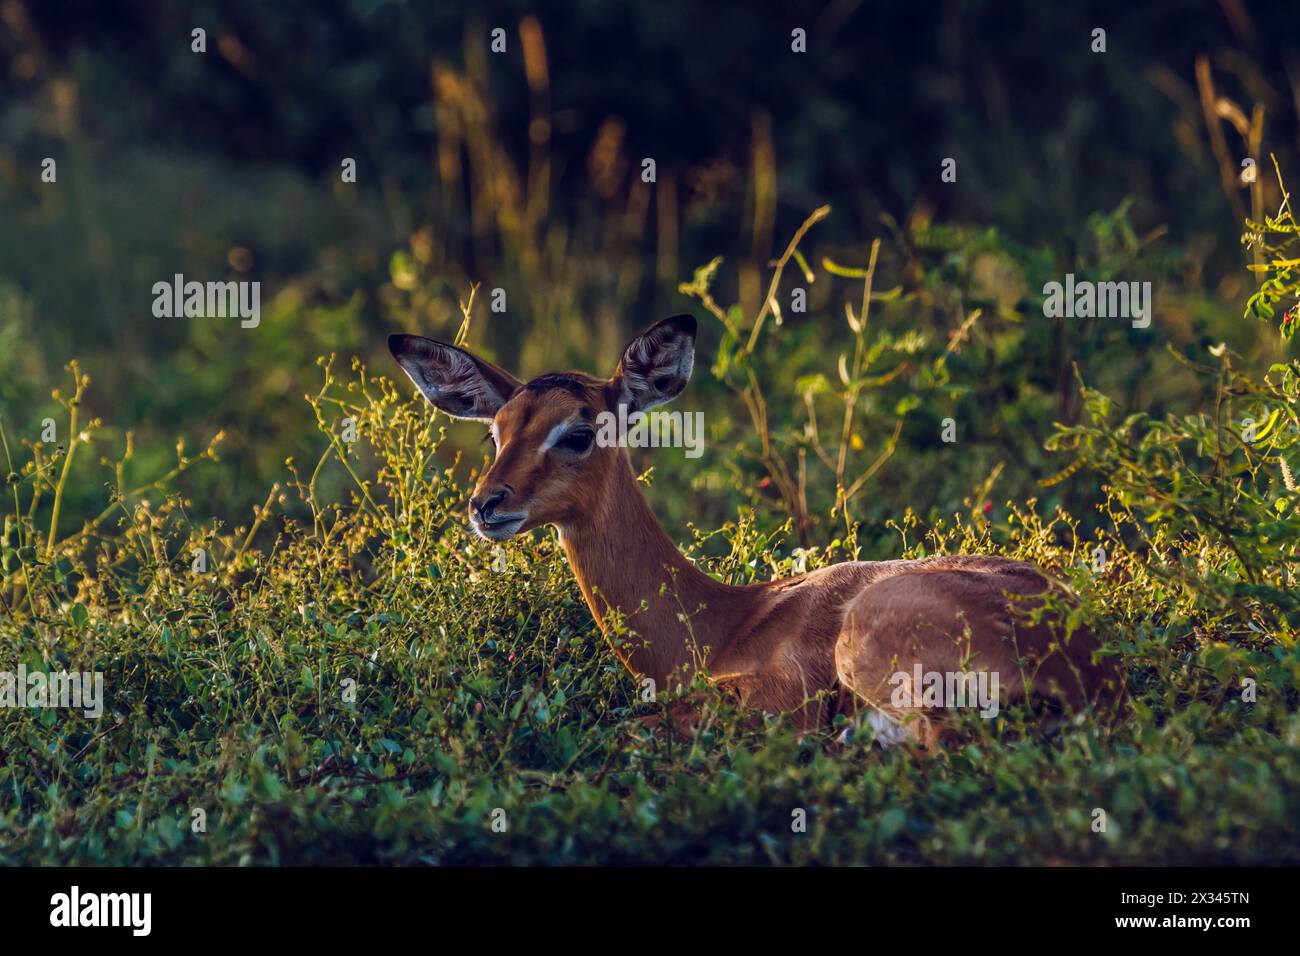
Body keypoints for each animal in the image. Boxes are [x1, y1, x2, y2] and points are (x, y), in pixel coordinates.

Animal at [389, 315, 1124, 747]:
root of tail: (1084, 662)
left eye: (577, 431)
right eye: (496, 430)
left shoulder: (781, 699)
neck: (717, 626)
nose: (486, 504)